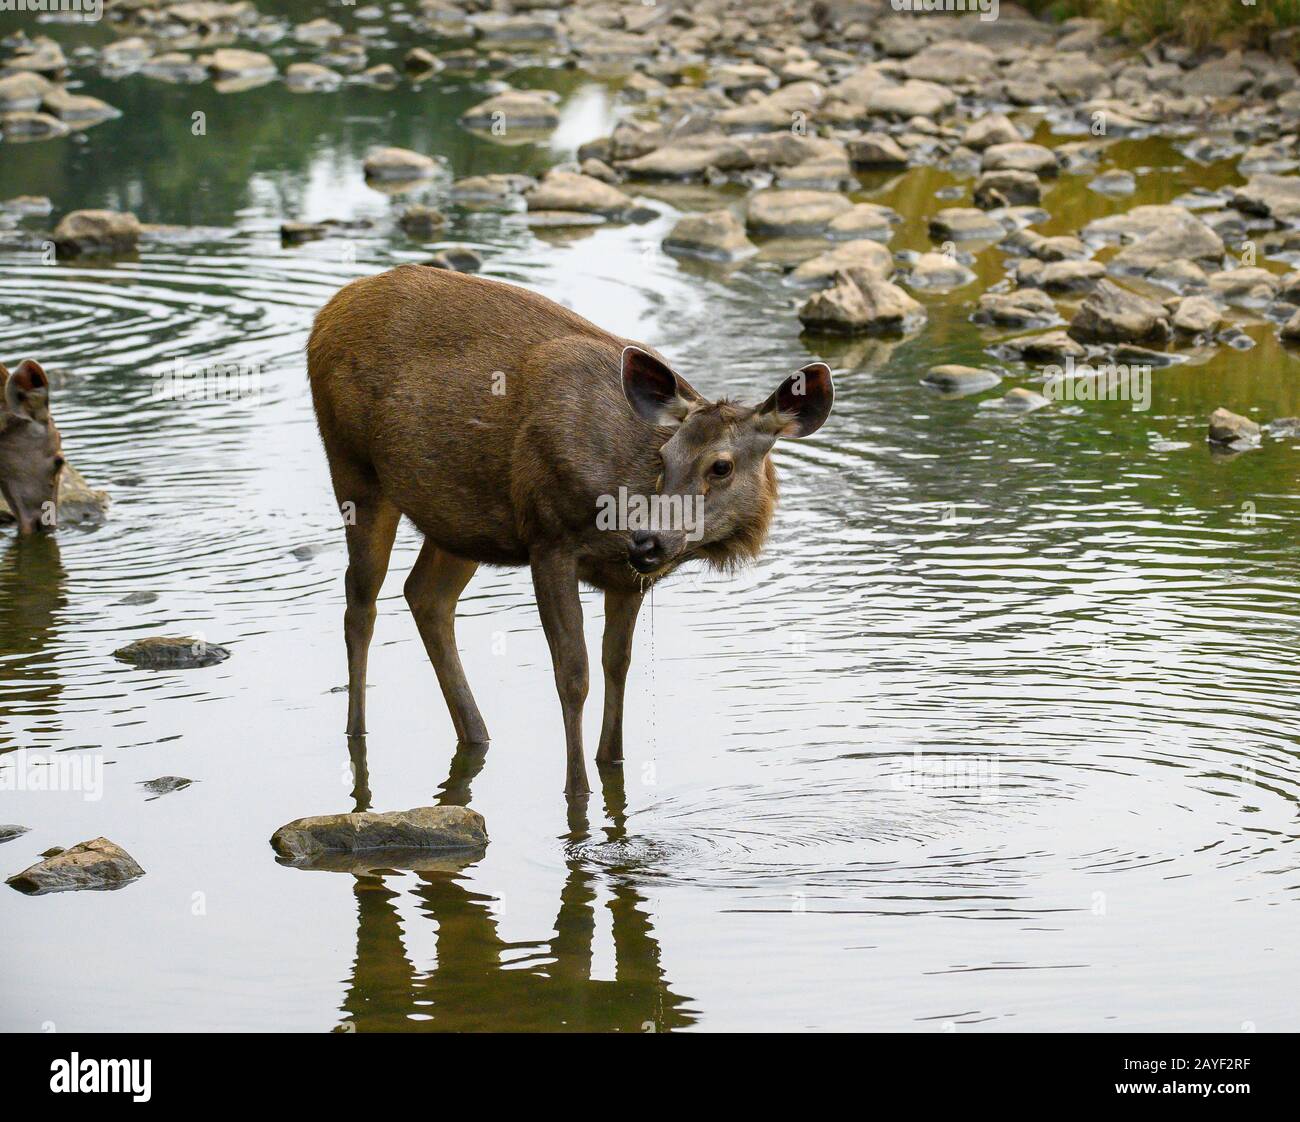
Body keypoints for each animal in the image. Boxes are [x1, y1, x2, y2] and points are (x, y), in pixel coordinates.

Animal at [307, 265, 833, 796]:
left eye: (720, 466)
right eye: (664, 458)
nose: (646, 540)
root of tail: (327, 313)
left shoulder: (626, 578)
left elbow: (617, 665)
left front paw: (612, 762)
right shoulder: (549, 537)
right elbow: (573, 673)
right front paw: (576, 789)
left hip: (458, 519)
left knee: (425, 595)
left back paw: (475, 733)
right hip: (353, 465)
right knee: (360, 603)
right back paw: (358, 734)